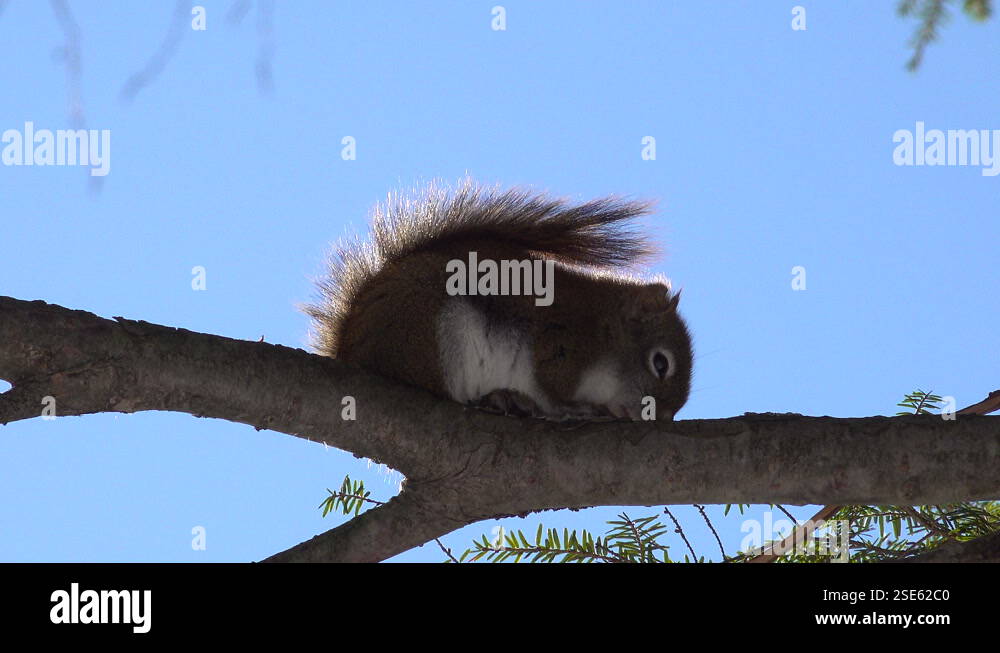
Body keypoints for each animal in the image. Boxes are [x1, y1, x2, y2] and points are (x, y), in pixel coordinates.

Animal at [304, 180, 693, 421]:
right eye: (661, 364)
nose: (662, 419)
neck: (603, 329)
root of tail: (350, 347)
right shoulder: (560, 344)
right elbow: (552, 391)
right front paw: (575, 409)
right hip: (434, 327)